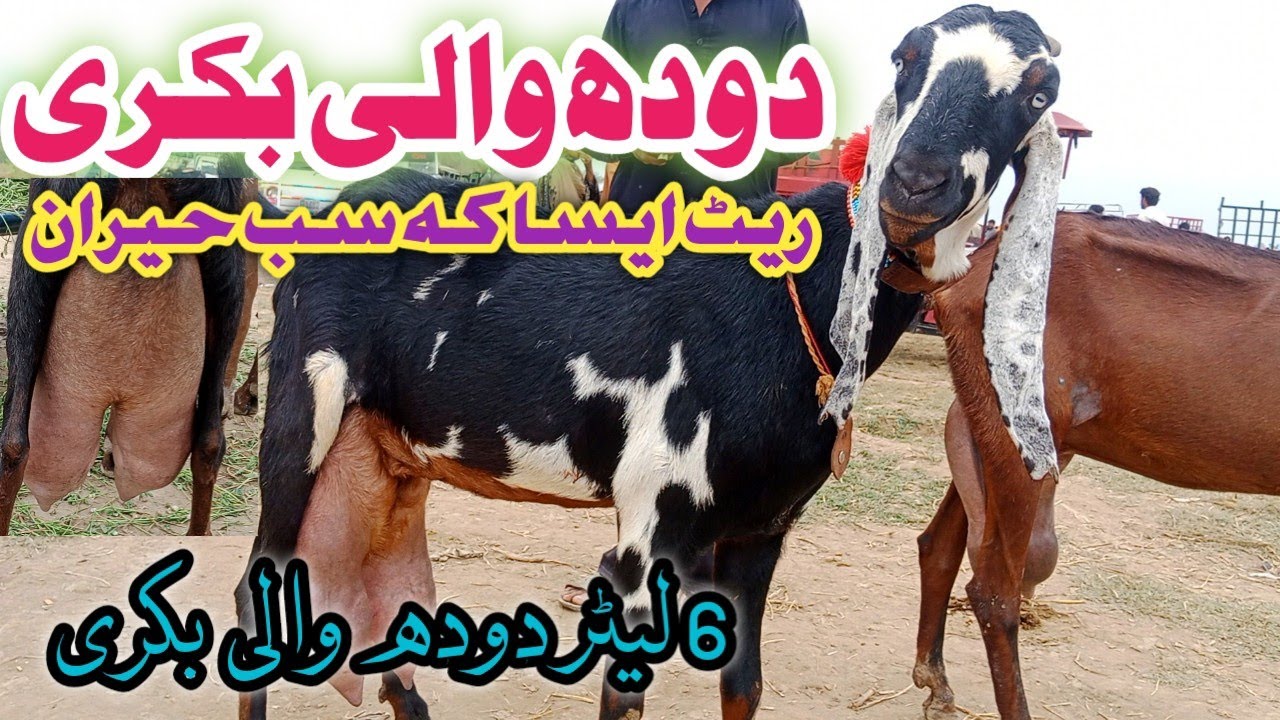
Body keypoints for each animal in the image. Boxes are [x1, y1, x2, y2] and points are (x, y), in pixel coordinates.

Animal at [912, 215, 1280, 720]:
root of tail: (968, 272)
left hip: (986, 422)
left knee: (940, 545)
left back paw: (936, 681)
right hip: (1021, 432)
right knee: (994, 590)